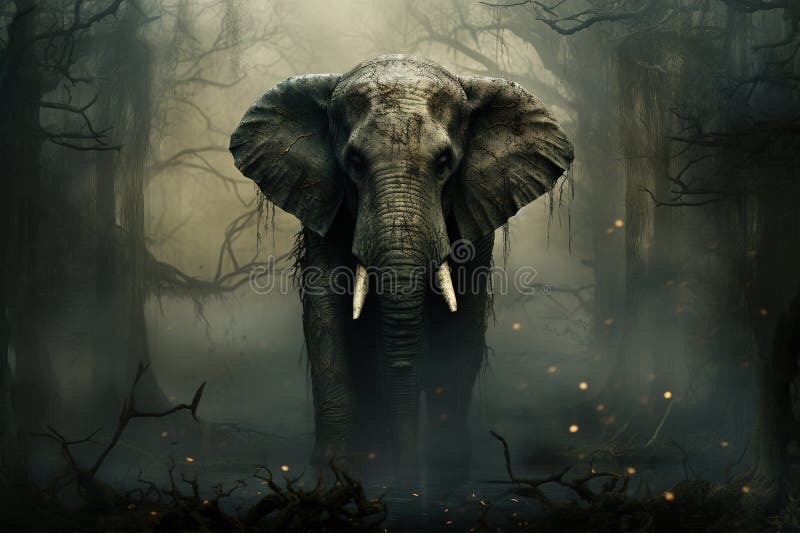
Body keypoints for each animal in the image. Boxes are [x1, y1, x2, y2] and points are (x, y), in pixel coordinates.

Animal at [229, 55, 573, 485]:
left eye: (444, 164)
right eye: (354, 163)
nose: (404, 477)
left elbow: (463, 321)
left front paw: (447, 470)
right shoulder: (324, 202)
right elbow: (325, 314)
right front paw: (335, 469)